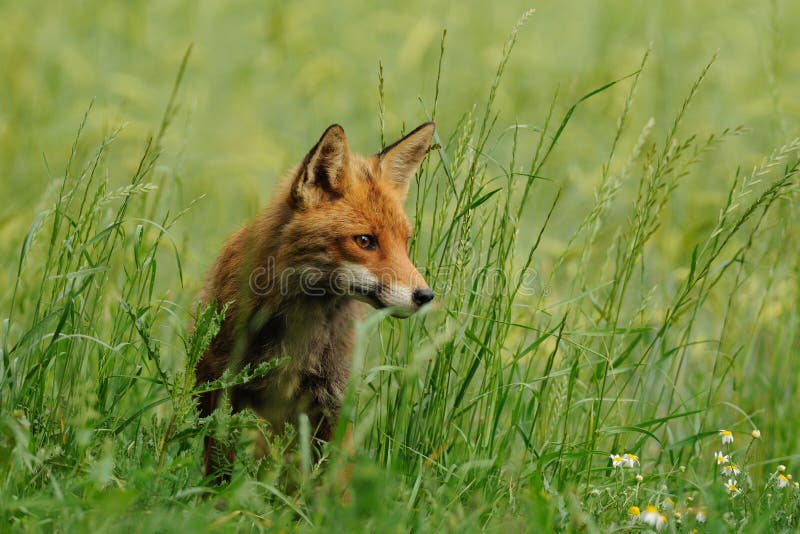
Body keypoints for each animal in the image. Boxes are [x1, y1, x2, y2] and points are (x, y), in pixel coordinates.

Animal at [195, 121, 436, 483]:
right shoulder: (223, 382)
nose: (425, 296)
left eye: (406, 241)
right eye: (365, 241)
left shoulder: (329, 402)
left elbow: (322, 485)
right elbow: (218, 469)